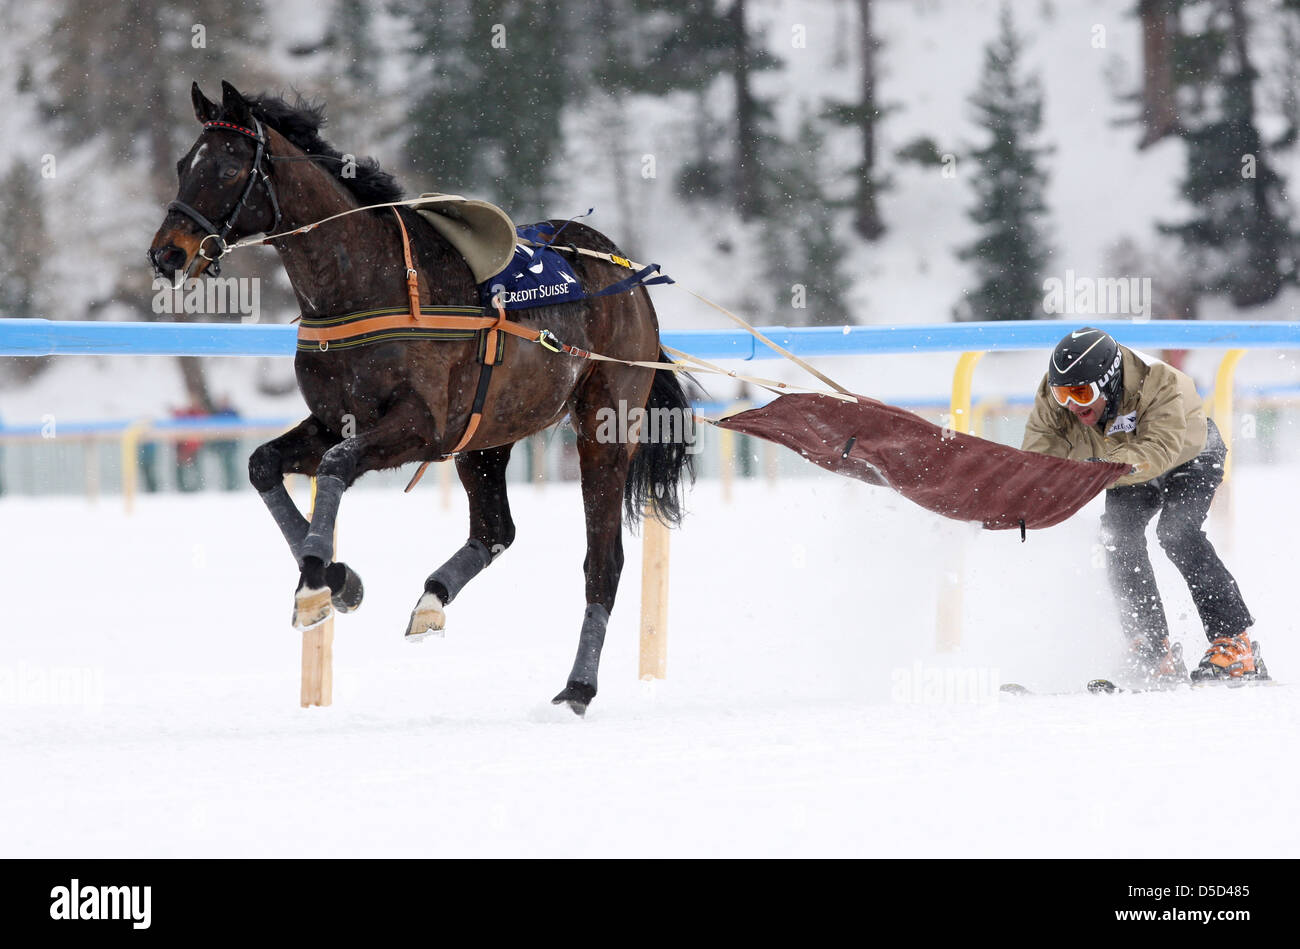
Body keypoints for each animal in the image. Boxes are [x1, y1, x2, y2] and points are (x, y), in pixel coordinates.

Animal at [148, 81, 696, 712]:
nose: (166, 253)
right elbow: (263, 464)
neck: (367, 280)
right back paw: (433, 598)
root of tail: (627, 273)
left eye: (229, 165)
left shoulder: (421, 427)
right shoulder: (337, 419)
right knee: (495, 530)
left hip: (604, 426)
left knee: (602, 560)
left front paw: (315, 583)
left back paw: (579, 686)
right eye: (184, 164)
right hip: (488, 435)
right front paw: (338, 580)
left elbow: (336, 465)